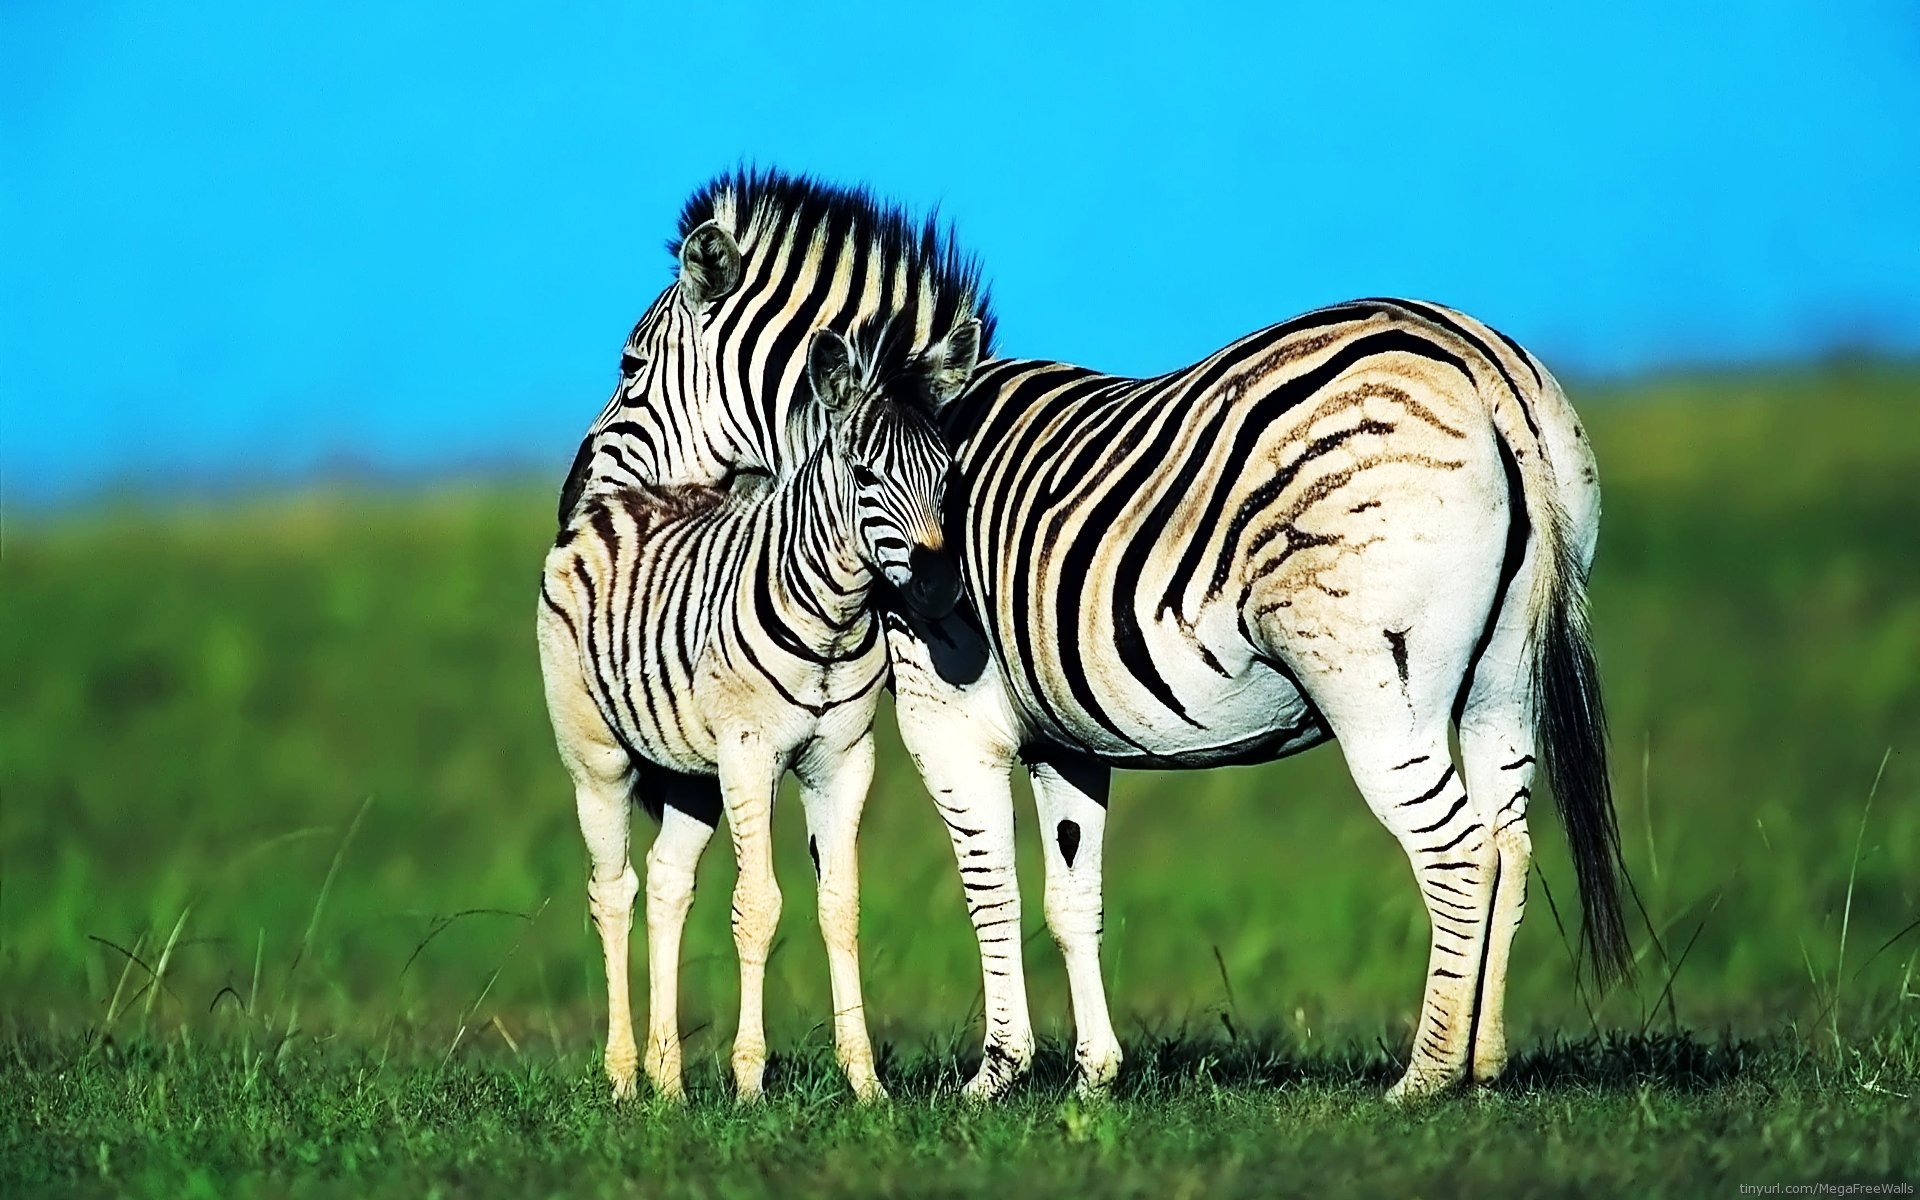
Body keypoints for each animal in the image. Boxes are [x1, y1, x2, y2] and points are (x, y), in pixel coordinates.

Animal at [538, 313, 980, 1102]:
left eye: (949, 477)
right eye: (864, 475)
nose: (937, 591)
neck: (833, 619)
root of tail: (614, 502)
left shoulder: (843, 759)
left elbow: (839, 904)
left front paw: (865, 1084)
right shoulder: (751, 752)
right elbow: (758, 905)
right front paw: (749, 1082)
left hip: (689, 773)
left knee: (667, 885)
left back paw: (668, 1085)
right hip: (596, 756)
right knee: (613, 892)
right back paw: (622, 1081)